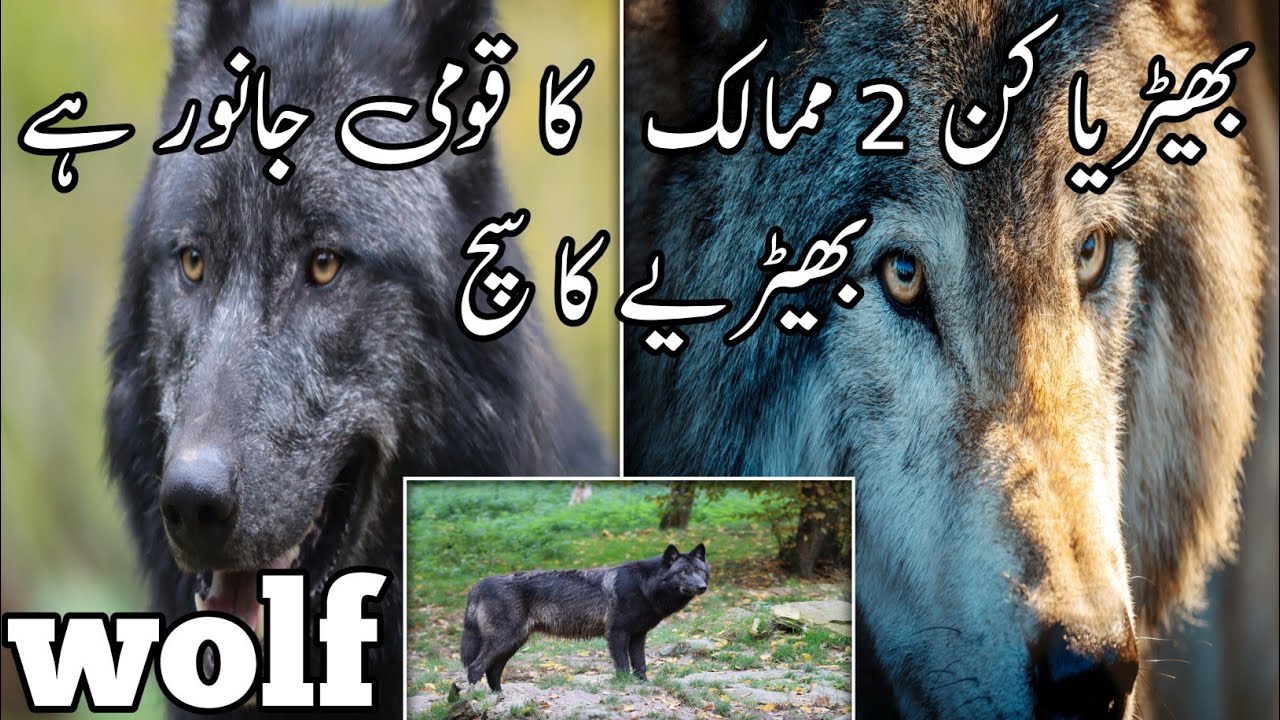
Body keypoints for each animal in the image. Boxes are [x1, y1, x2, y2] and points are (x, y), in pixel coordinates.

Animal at [460, 544, 709, 690]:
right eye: (683, 572)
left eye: (700, 571)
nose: (702, 587)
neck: (644, 586)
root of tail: (479, 584)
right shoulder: (617, 634)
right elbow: (623, 666)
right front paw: (625, 686)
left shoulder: (638, 636)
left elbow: (641, 666)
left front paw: (643, 687)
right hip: (505, 640)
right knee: (475, 667)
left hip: (512, 643)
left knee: (492, 671)